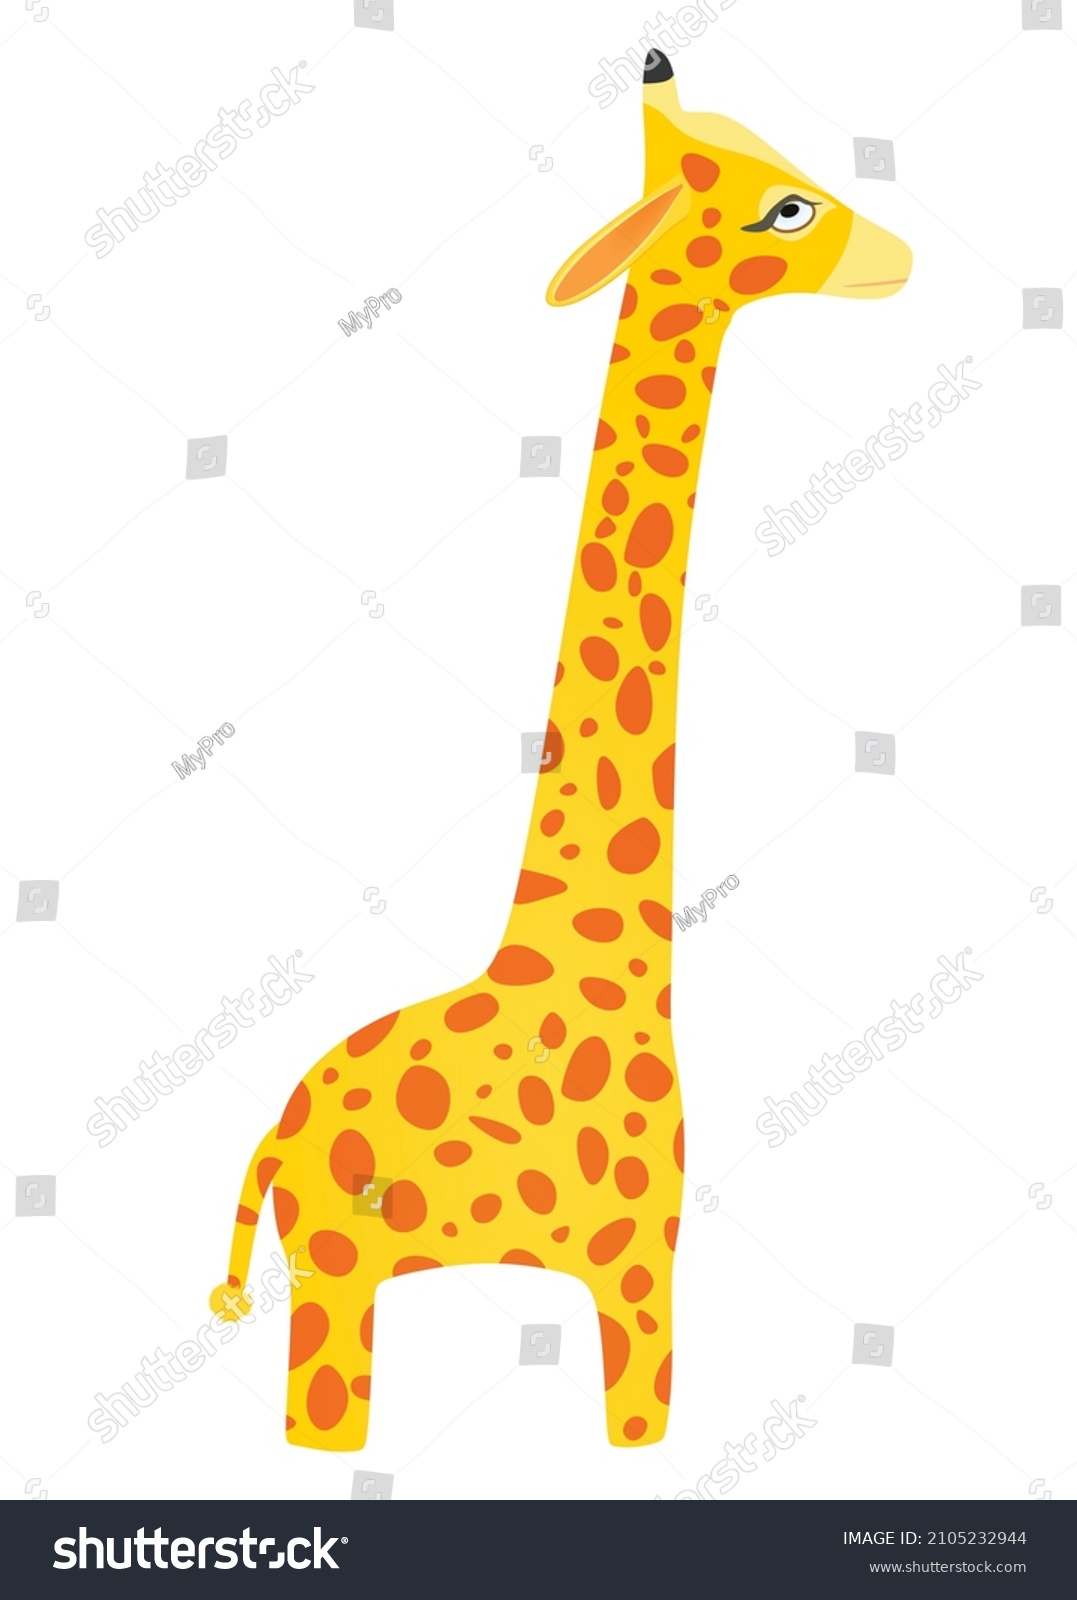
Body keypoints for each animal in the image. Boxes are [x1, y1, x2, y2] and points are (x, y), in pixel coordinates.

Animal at [210, 50, 910, 1452]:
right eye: (785, 210)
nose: (901, 256)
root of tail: (273, 1131)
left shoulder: (631, 1282)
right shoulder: (645, 1273)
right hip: (337, 1280)